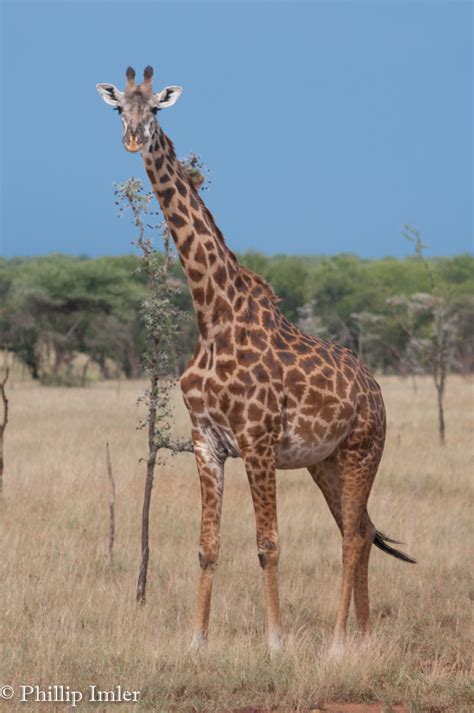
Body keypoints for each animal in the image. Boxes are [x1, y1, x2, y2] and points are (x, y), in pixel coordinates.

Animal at [97, 66, 415, 655]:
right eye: (118, 109)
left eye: (155, 108)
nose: (132, 138)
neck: (213, 314)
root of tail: (375, 388)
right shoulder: (207, 442)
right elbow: (207, 545)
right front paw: (197, 641)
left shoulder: (259, 441)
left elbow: (268, 543)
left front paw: (276, 642)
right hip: (323, 460)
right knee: (358, 530)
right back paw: (361, 635)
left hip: (364, 448)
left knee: (352, 536)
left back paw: (339, 642)